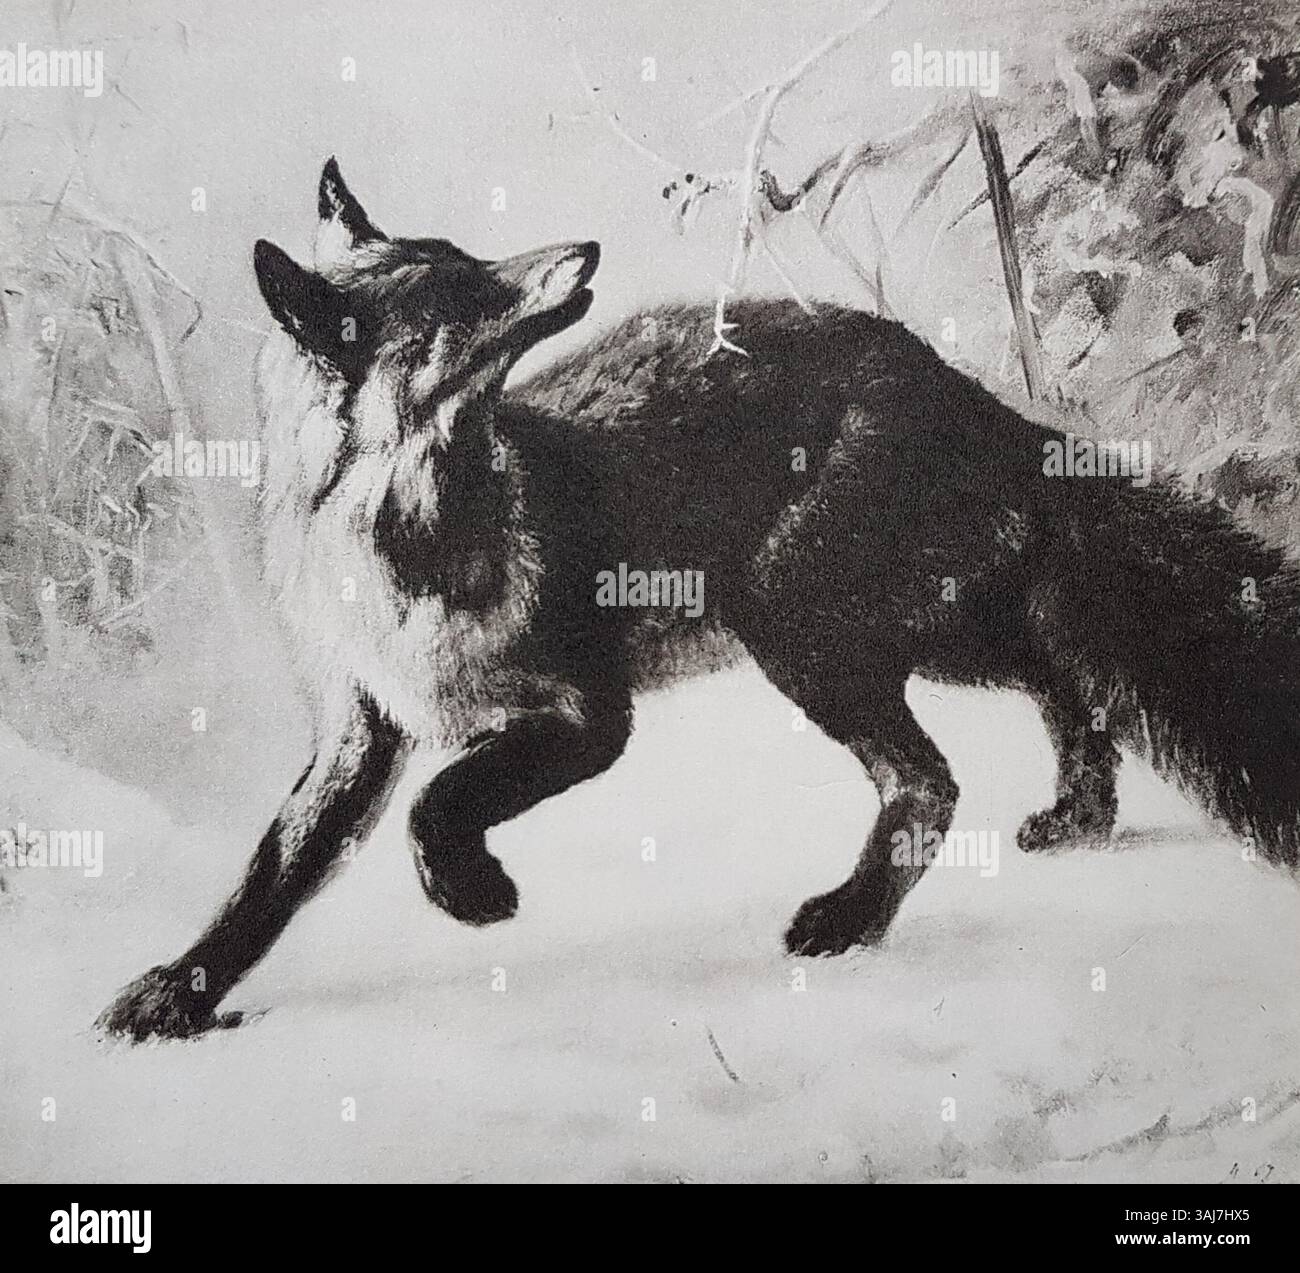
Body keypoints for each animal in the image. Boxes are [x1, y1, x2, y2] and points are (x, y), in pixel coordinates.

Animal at [98, 158, 1300, 1041]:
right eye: (464, 292)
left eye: (473, 260)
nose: (583, 249)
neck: (402, 548)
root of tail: (964, 392)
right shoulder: (358, 731)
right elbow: (268, 877)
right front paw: (180, 991)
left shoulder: (590, 714)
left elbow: (445, 798)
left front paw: (473, 891)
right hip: (921, 626)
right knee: (1062, 676)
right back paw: (1079, 815)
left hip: (809, 631)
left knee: (933, 777)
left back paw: (849, 919)